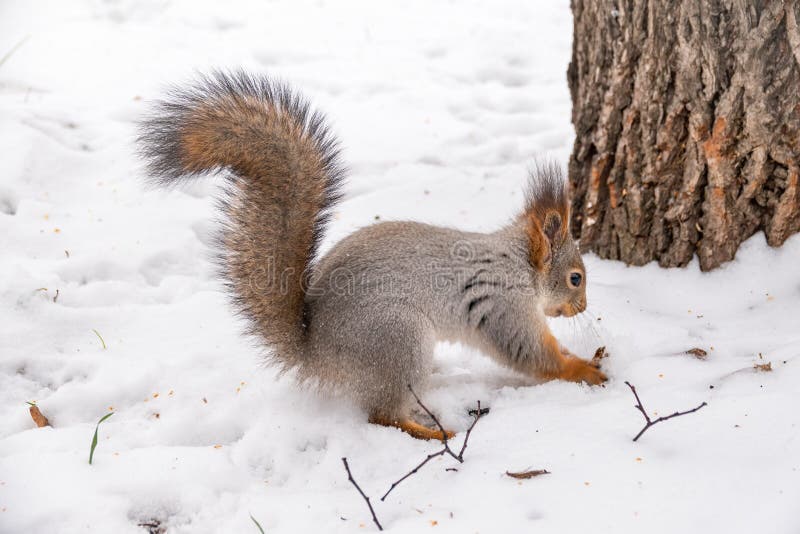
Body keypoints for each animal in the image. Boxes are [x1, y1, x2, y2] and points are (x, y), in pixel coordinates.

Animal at [138, 71, 607, 441]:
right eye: (576, 278)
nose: (583, 307)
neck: (519, 264)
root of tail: (316, 354)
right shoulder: (501, 303)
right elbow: (532, 355)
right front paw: (584, 370)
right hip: (397, 338)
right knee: (382, 416)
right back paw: (430, 433)